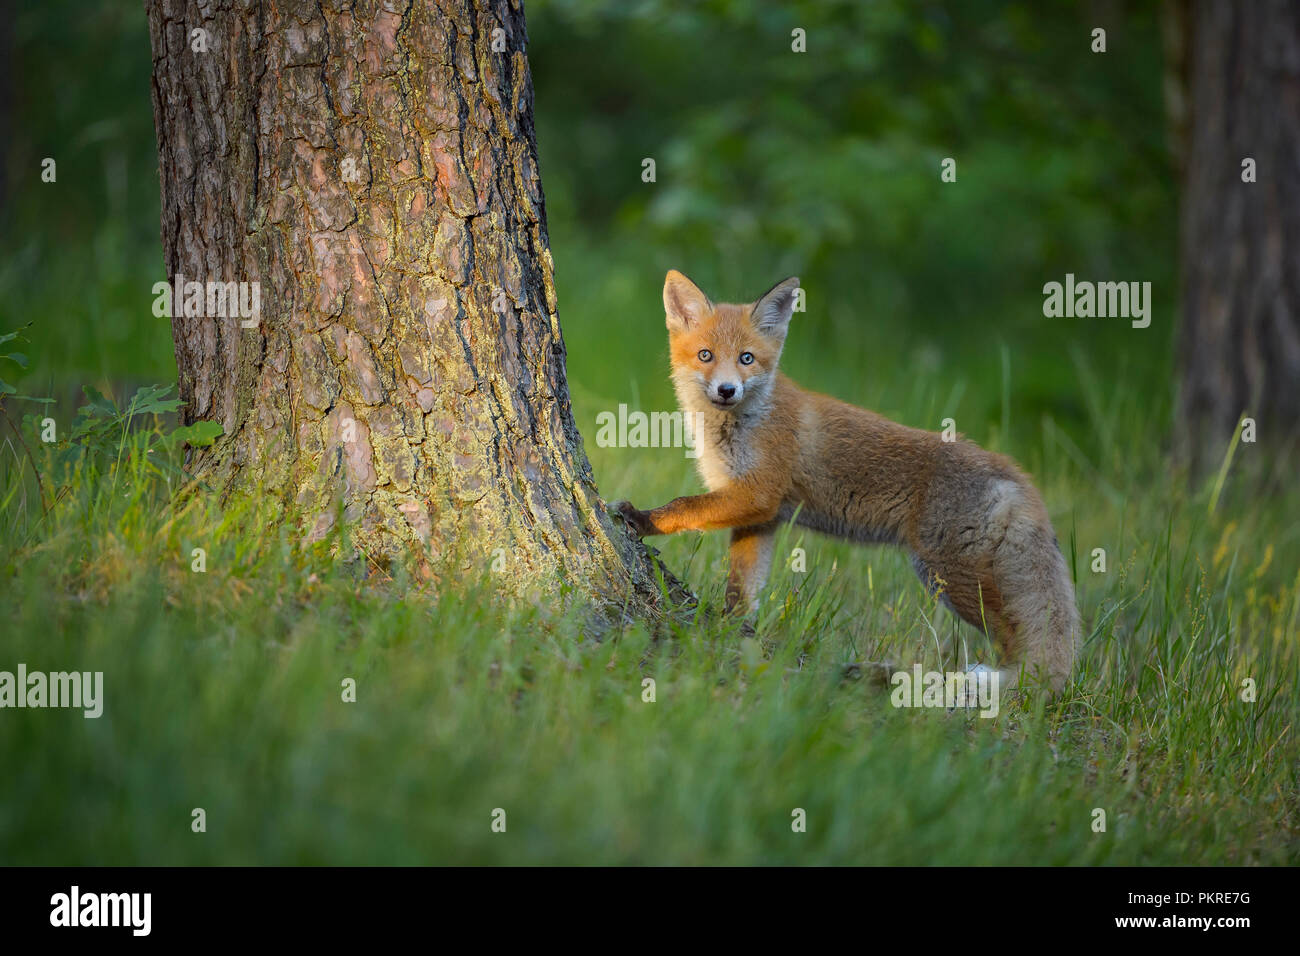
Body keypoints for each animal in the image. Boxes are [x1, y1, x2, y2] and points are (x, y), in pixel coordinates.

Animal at [612, 270, 1080, 694]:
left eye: (746, 358)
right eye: (706, 355)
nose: (727, 390)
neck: (736, 427)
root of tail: (1014, 471)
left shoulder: (758, 494)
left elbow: (683, 505)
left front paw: (641, 519)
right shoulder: (760, 516)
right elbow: (742, 590)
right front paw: (732, 630)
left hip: (949, 576)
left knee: (1024, 650)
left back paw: (1005, 686)